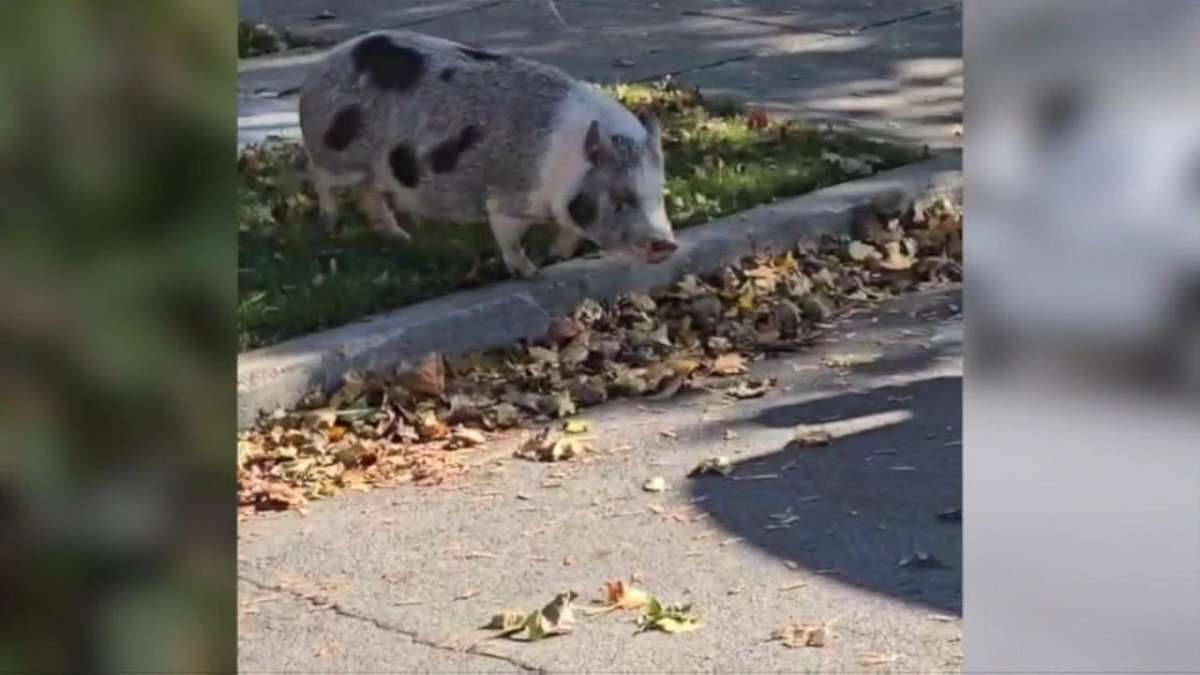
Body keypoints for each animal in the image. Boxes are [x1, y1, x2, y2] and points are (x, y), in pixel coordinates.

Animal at [298, 30, 678, 278]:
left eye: (658, 194)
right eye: (620, 199)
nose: (667, 244)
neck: (563, 167)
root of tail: (322, 65)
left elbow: (569, 233)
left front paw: (557, 255)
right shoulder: (507, 199)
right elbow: (508, 238)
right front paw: (530, 272)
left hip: (370, 168)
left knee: (369, 192)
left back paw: (400, 237)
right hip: (337, 156)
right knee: (322, 178)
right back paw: (331, 226)